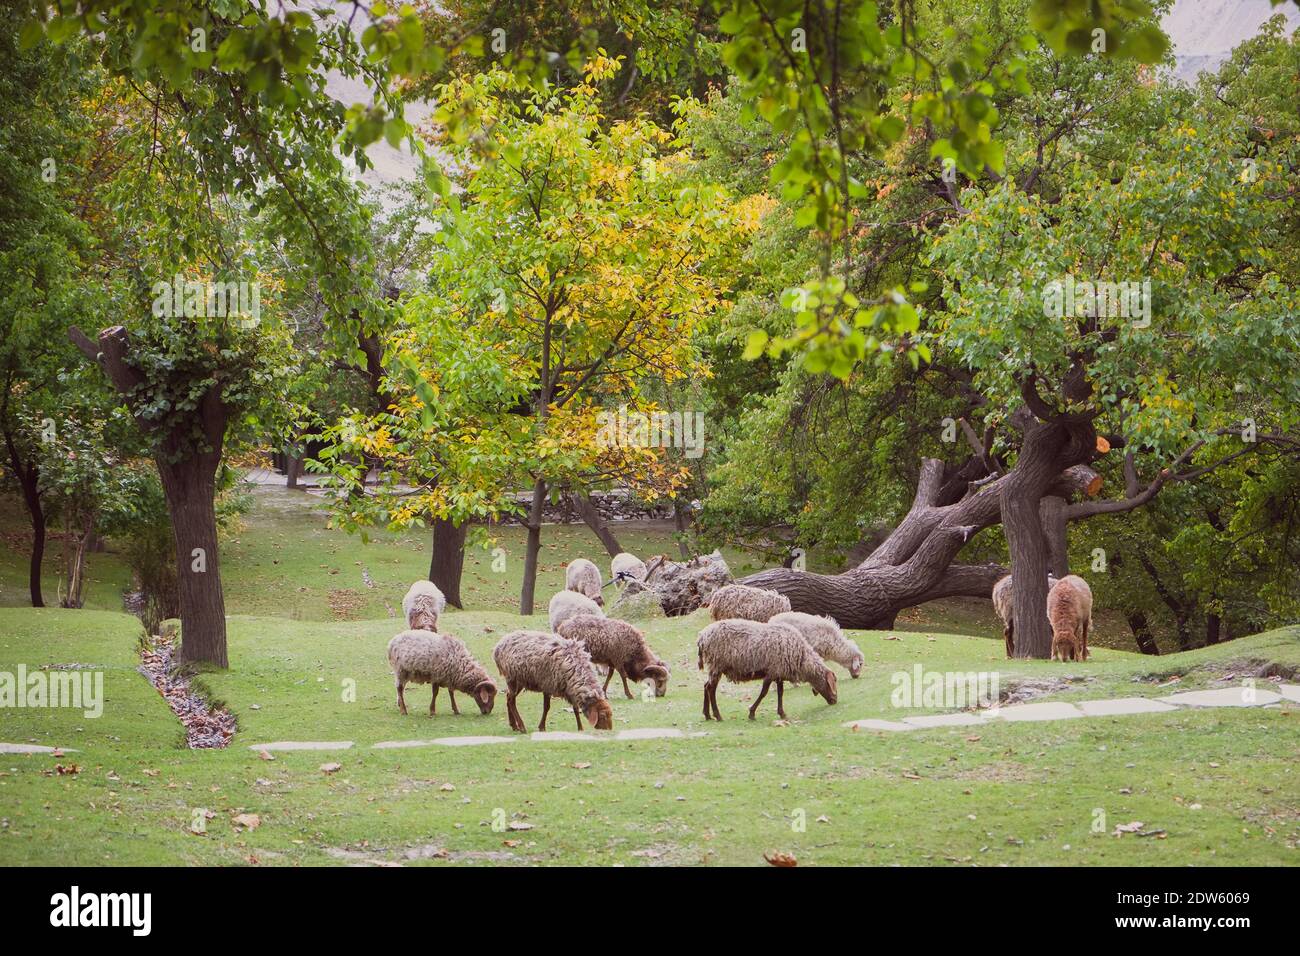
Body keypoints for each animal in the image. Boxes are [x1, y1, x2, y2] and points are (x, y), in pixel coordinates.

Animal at [696, 619, 837, 721]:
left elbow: (780, 693)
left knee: (706, 686)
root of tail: (702, 637)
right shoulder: (772, 671)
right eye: (832, 683)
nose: (835, 701)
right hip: (717, 664)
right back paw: (717, 716)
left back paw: (707, 715)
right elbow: (764, 692)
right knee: (711, 689)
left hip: (714, 667)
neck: (801, 658)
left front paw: (782, 713)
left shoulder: (779, 672)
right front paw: (752, 713)